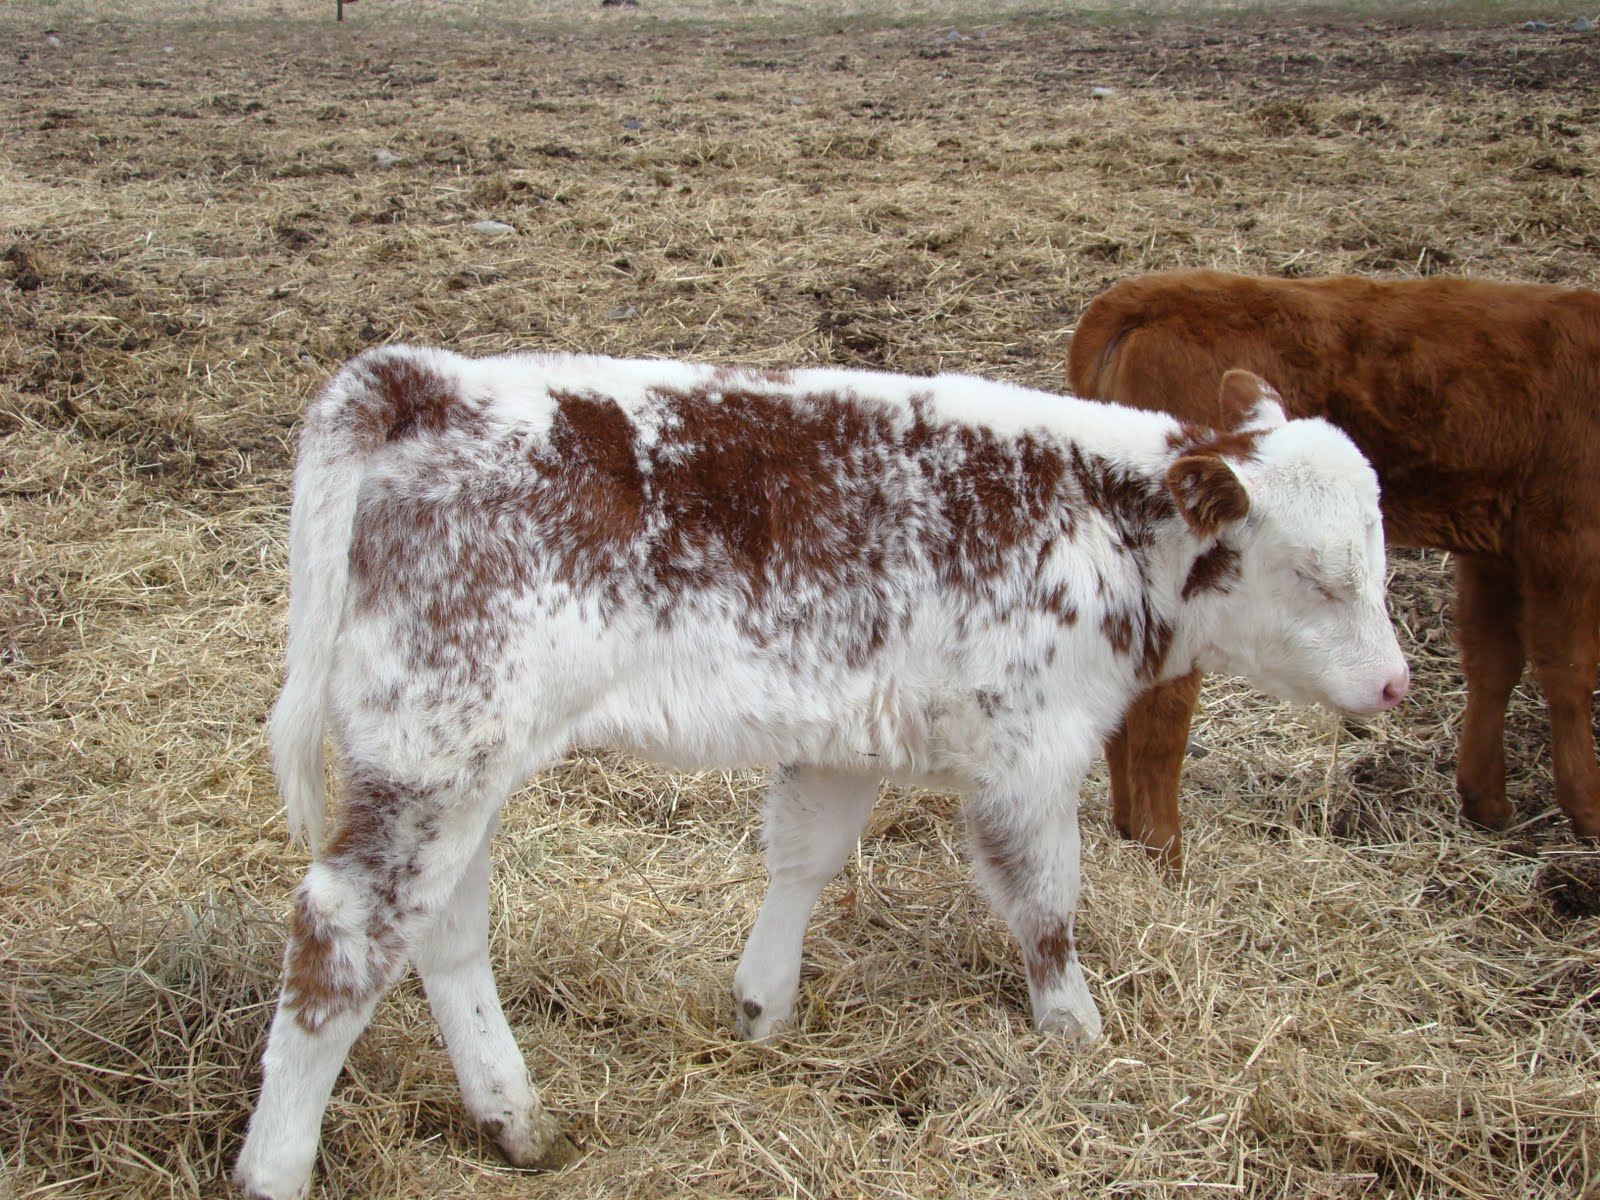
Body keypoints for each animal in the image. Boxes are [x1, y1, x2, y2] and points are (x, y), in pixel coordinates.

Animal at [233, 345, 1407, 1199]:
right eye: (1317, 574)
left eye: (1382, 559)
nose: (1396, 682)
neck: (1099, 516)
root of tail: (428, 381)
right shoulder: (1029, 748)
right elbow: (1045, 906)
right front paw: (1076, 1030)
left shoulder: (848, 730)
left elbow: (805, 856)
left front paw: (764, 1006)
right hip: (434, 748)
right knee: (343, 933)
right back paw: (276, 1166)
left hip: (456, 758)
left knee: (441, 926)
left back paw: (516, 1118)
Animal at [1068, 268, 1600, 872]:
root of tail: (1143, 296)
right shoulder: (1567, 542)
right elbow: (1568, 674)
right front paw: (1588, 809)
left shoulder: (1495, 554)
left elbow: (1494, 662)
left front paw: (1485, 798)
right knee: (1163, 710)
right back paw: (1165, 853)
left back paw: (1131, 828)